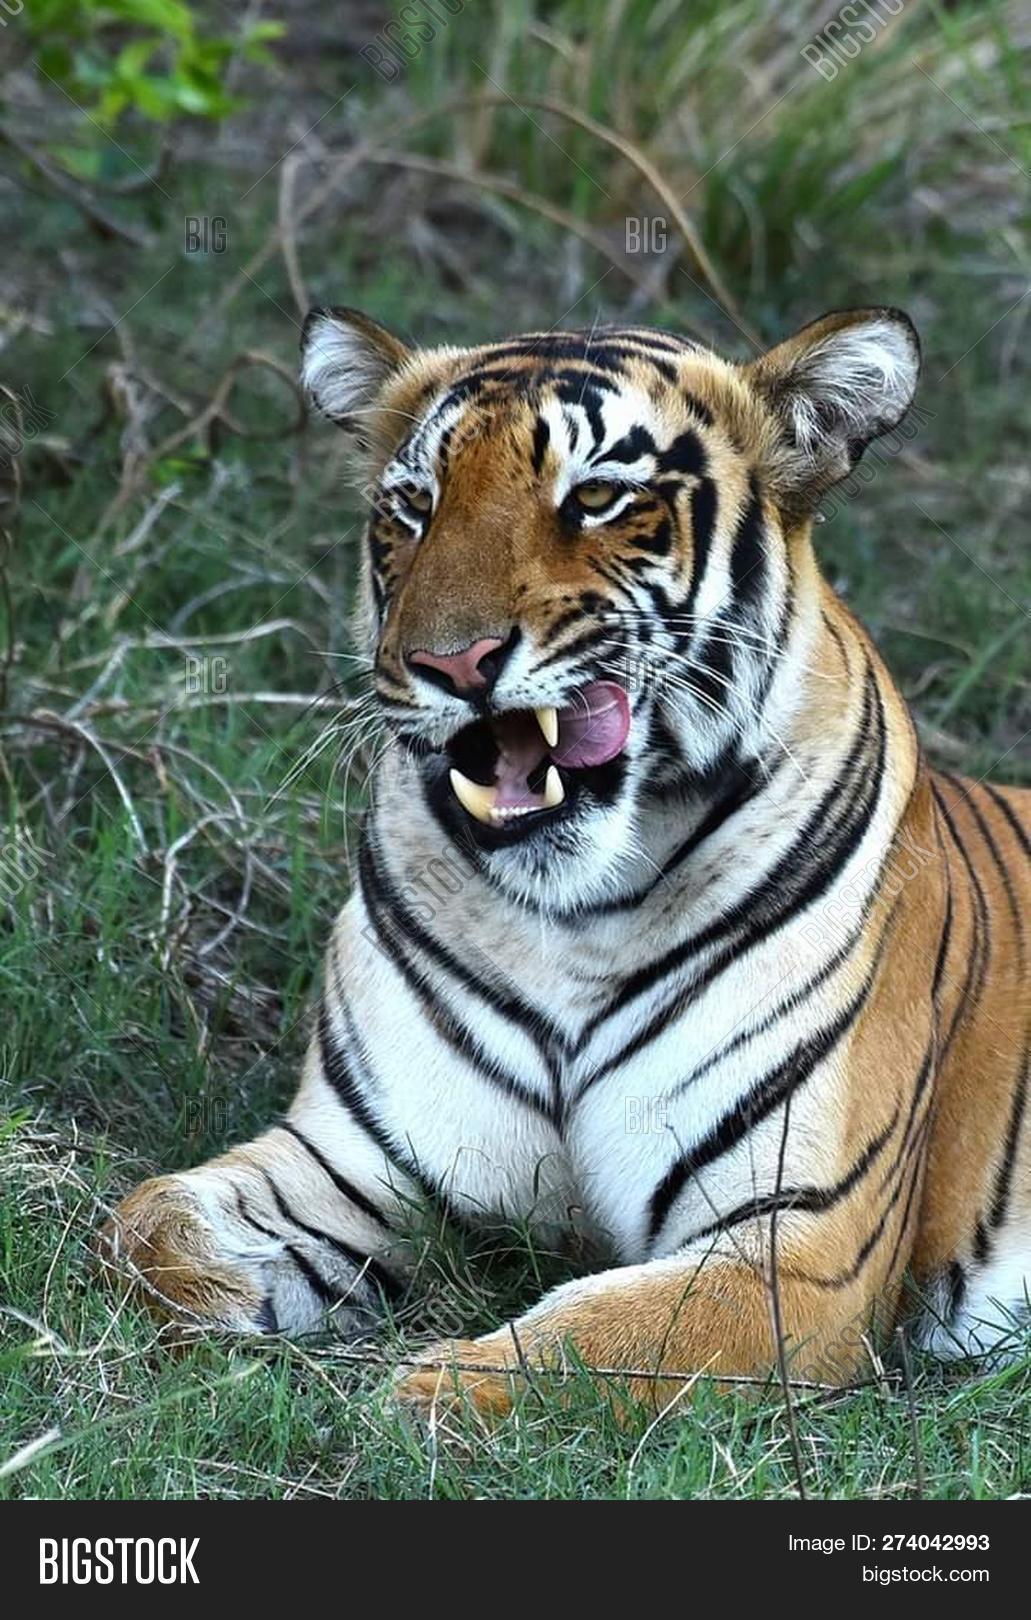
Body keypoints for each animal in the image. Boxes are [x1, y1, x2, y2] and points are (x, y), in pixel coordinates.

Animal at [106, 303, 1031, 1418]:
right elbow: (147, 1223)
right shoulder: (353, 1158)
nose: (450, 662)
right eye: (413, 507)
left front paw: (397, 1398)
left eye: (594, 497)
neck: (573, 920)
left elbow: (578, 1343)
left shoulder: (798, 1244)